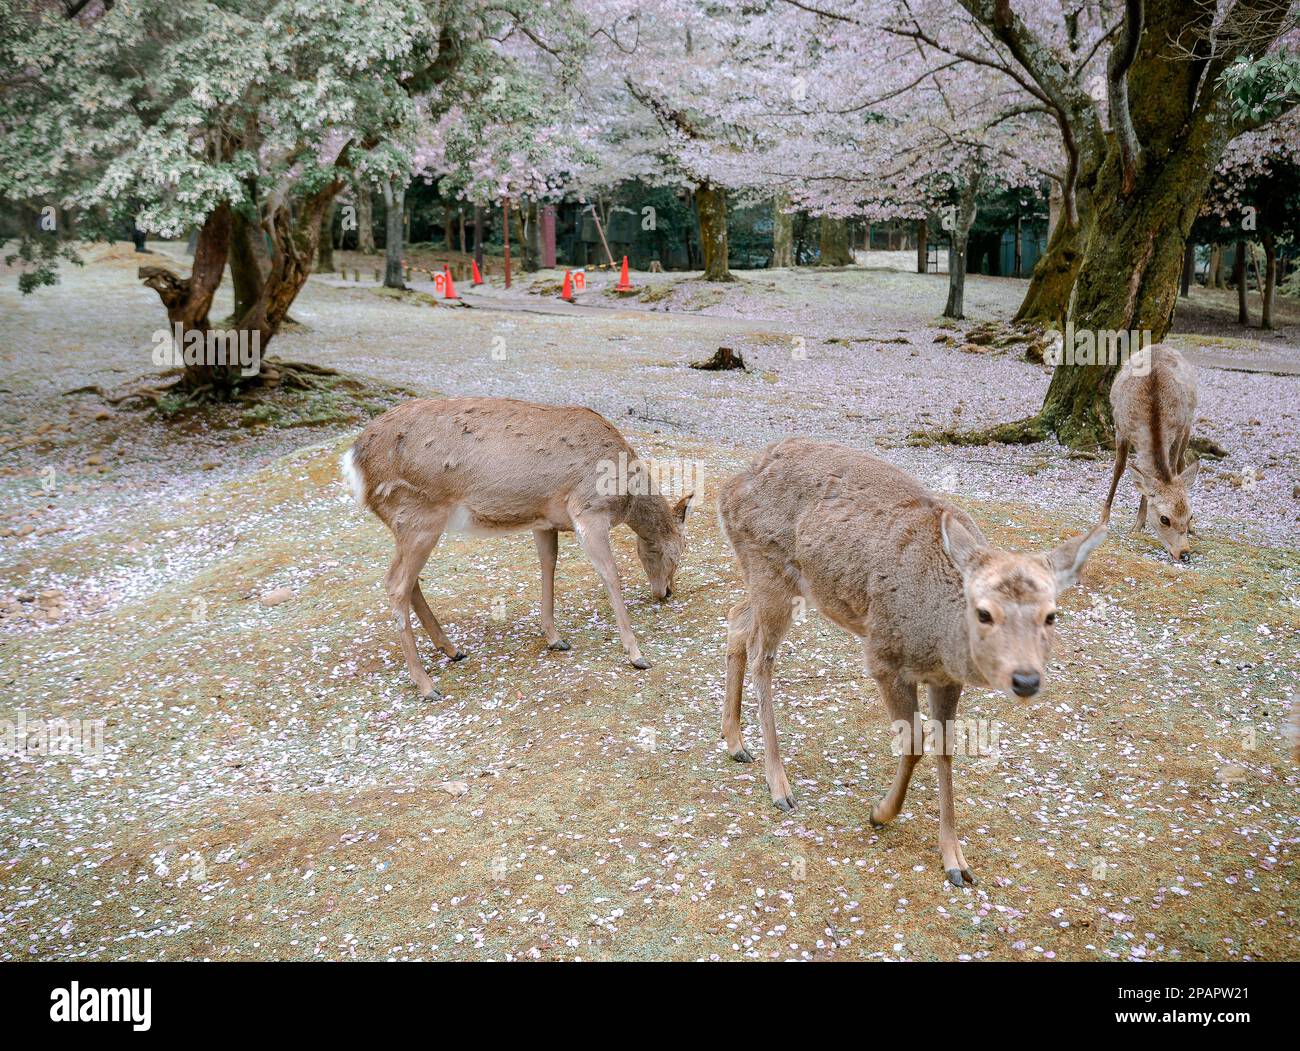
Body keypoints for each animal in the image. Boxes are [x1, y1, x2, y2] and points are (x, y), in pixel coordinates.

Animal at [342, 397, 693, 699]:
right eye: (677, 552)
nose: (666, 592)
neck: (625, 493)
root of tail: (355, 462)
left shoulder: (545, 520)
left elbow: (549, 564)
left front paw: (555, 638)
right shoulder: (588, 509)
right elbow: (610, 575)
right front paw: (637, 655)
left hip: (411, 525)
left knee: (409, 582)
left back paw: (452, 650)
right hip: (416, 515)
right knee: (395, 584)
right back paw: (427, 685)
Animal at [717, 438, 1106, 887]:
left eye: (1051, 614)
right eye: (984, 612)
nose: (1026, 679)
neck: (936, 637)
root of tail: (728, 488)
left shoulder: (946, 678)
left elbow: (946, 747)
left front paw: (956, 861)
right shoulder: (883, 656)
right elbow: (915, 742)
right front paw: (880, 813)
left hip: (770, 580)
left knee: (736, 619)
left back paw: (736, 743)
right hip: (767, 566)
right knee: (762, 657)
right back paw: (779, 785)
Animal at [1103, 344, 1199, 561]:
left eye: (1190, 514)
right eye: (1164, 519)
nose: (1184, 553)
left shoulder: (1177, 431)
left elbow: (1169, 470)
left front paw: (1139, 523)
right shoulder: (1120, 428)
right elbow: (1119, 469)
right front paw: (1104, 518)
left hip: (1188, 424)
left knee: (1181, 463)